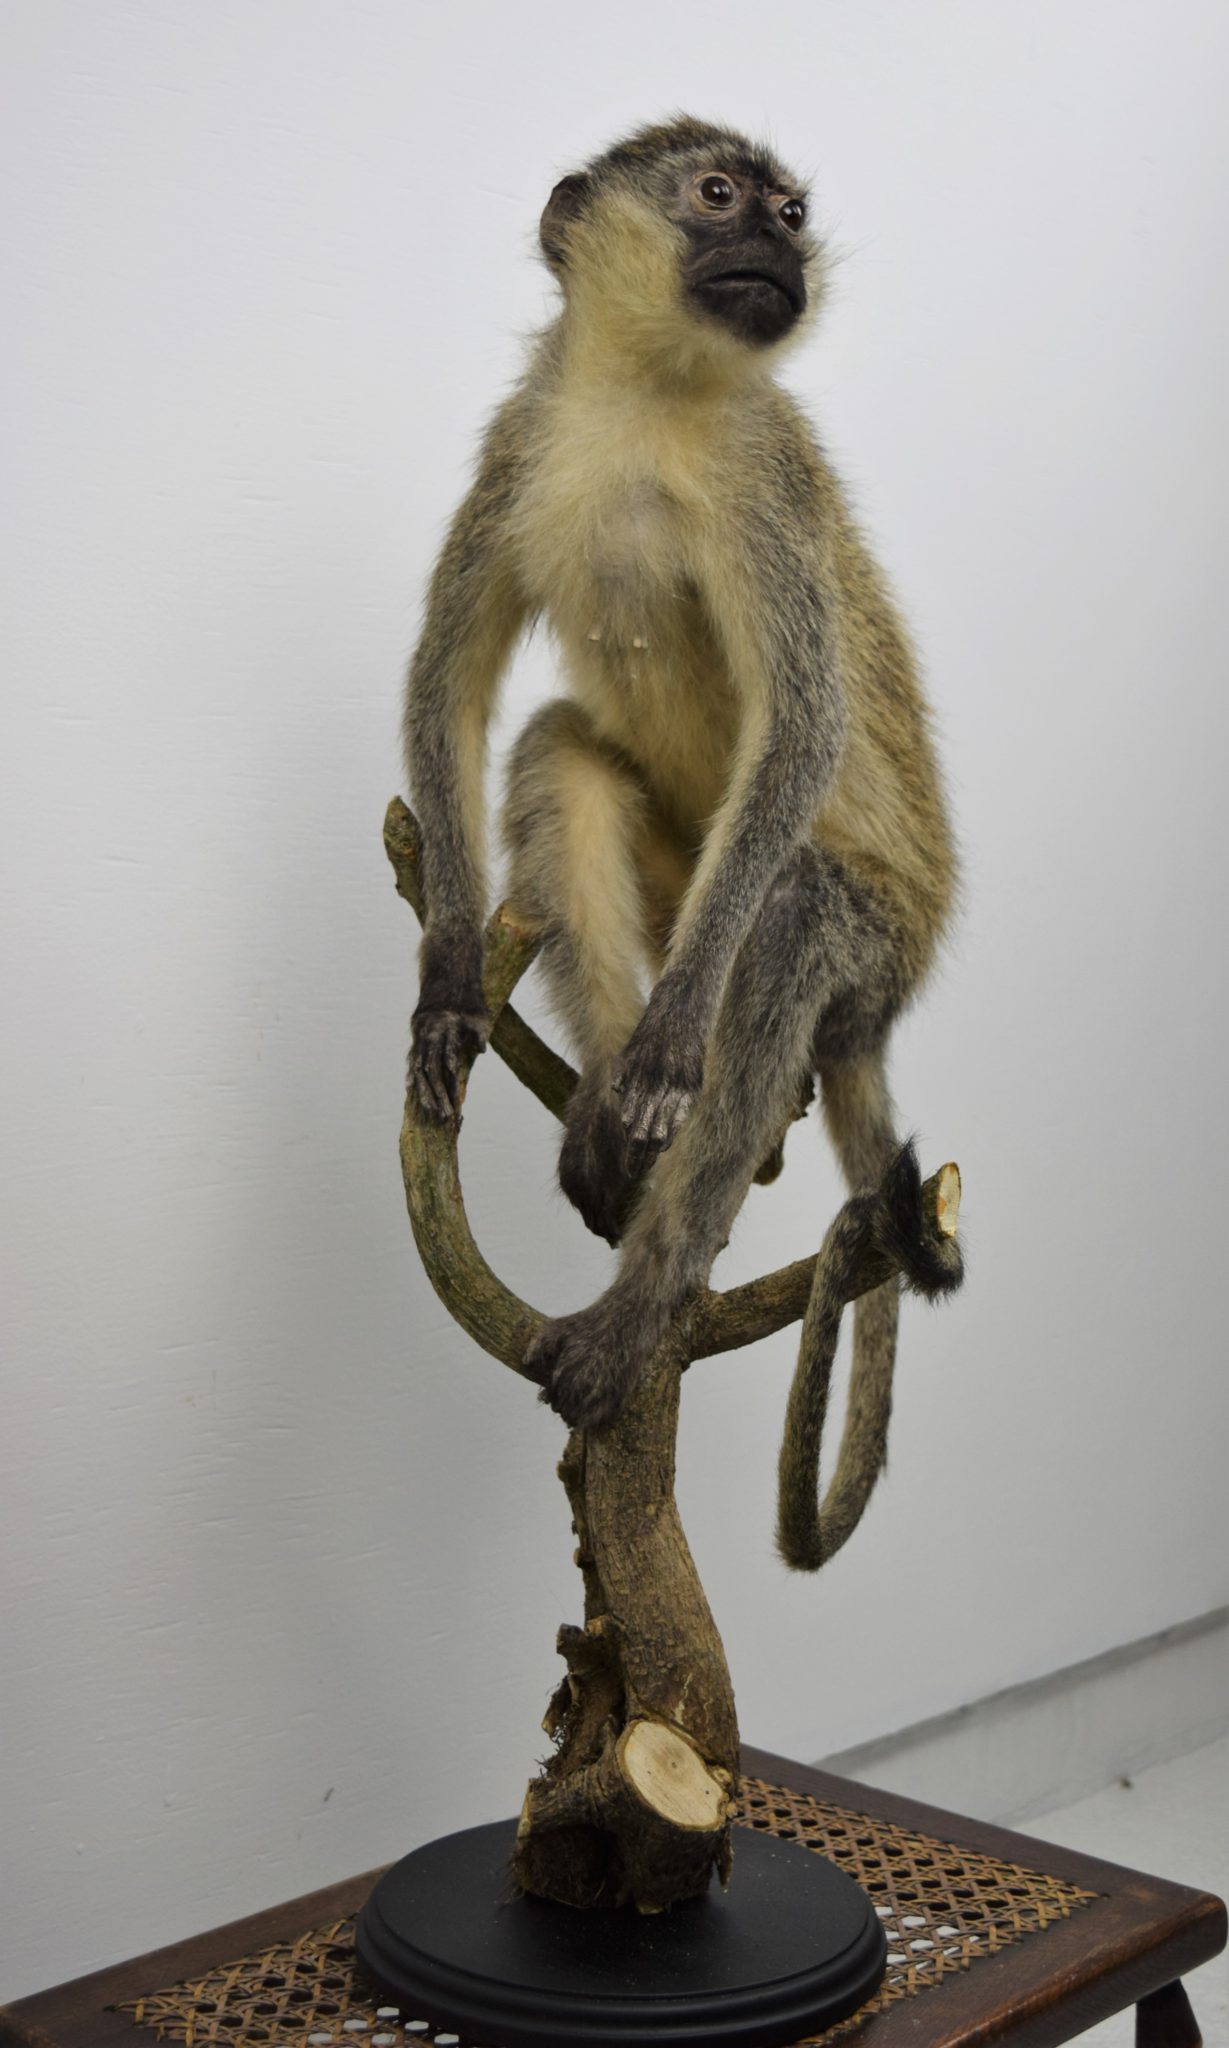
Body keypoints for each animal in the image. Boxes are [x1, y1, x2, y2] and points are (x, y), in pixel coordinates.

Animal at [403, 115, 959, 1486]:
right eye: (716, 196)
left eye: (790, 212)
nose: (777, 246)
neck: (645, 398)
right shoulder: (519, 441)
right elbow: (449, 685)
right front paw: (447, 978)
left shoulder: (768, 482)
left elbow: (802, 730)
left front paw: (664, 1050)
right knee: (557, 749)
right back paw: (609, 1103)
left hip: (874, 950)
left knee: (792, 914)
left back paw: (636, 1307)